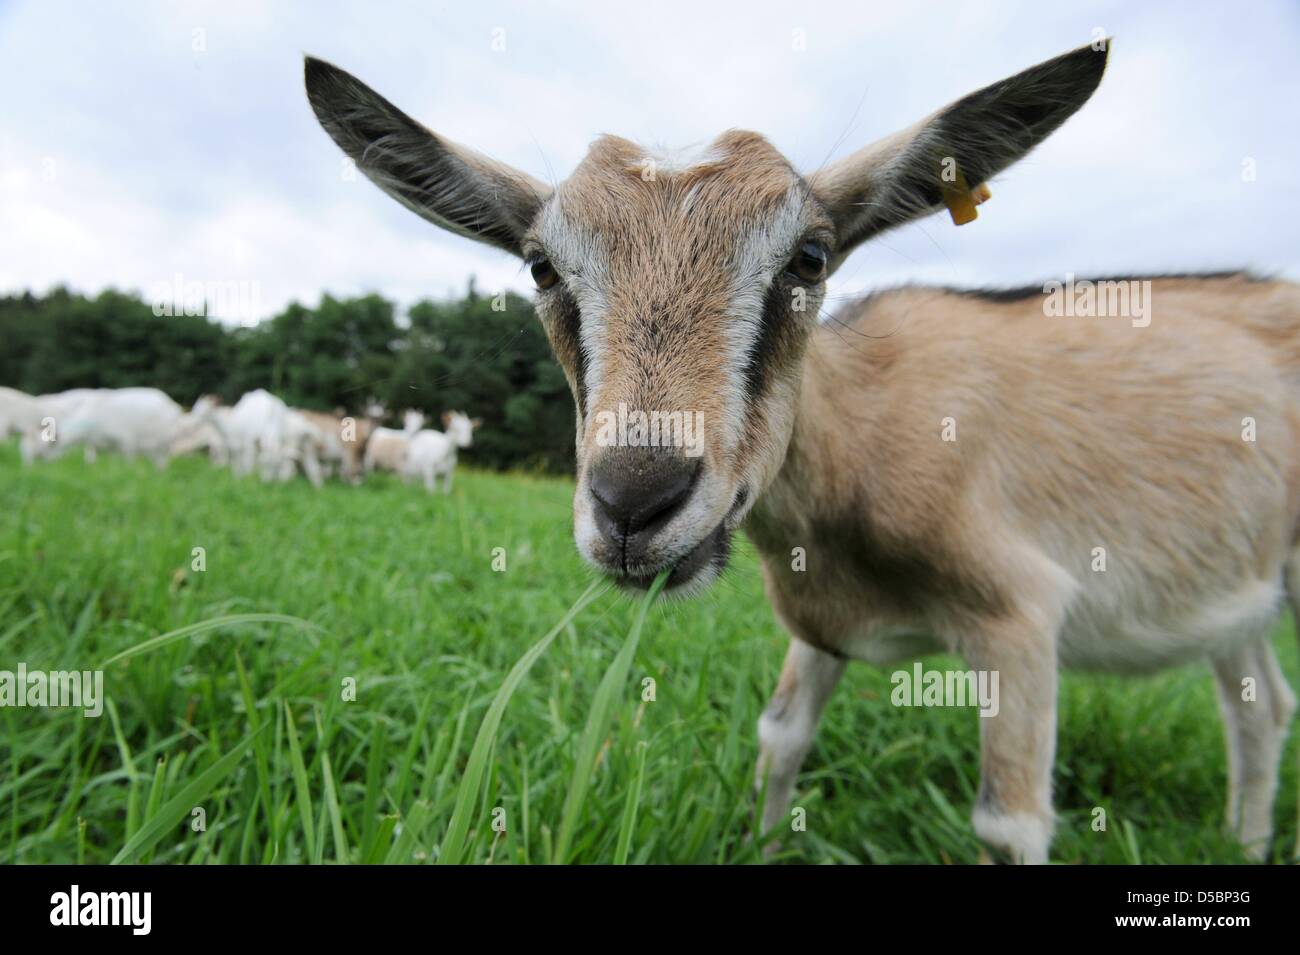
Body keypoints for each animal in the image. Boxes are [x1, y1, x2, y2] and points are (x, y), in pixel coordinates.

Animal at [306, 41, 1300, 863]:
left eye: (810, 257)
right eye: (542, 265)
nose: (635, 503)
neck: (863, 428)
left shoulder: (1019, 618)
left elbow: (1008, 823)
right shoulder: (819, 623)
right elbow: (779, 737)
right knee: (1258, 705)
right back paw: (1244, 844)